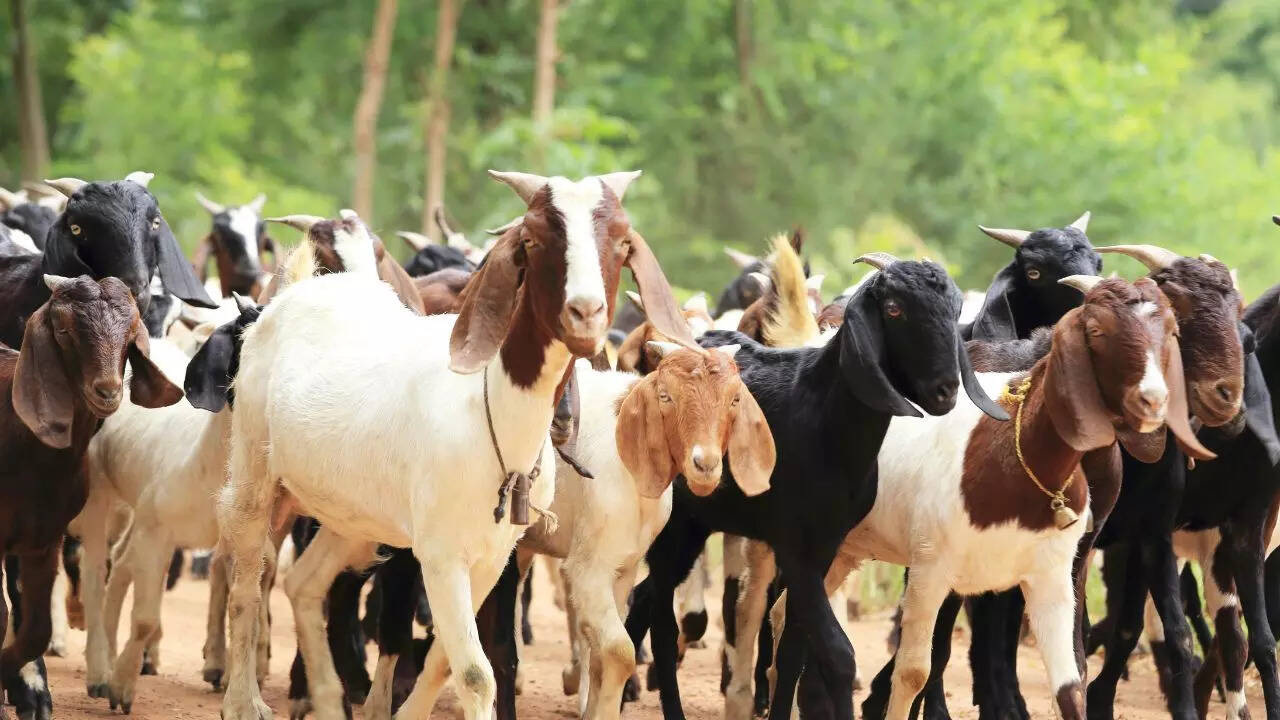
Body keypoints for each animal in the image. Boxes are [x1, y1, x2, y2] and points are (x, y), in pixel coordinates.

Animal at [215, 171, 696, 720]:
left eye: (620, 242)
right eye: (533, 238)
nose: (586, 313)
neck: (492, 416)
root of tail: (294, 293)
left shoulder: (492, 556)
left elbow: (447, 657)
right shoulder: (441, 554)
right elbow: (473, 672)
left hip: (352, 515)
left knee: (304, 585)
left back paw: (329, 700)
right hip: (253, 470)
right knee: (248, 580)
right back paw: (244, 700)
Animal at [624, 253, 1007, 720]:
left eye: (955, 310)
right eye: (894, 308)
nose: (945, 390)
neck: (824, 418)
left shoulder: (826, 544)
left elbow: (794, 647)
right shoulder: (795, 545)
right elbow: (837, 652)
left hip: (696, 524)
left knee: (646, 599)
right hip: (675, 525)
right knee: (661, 619)